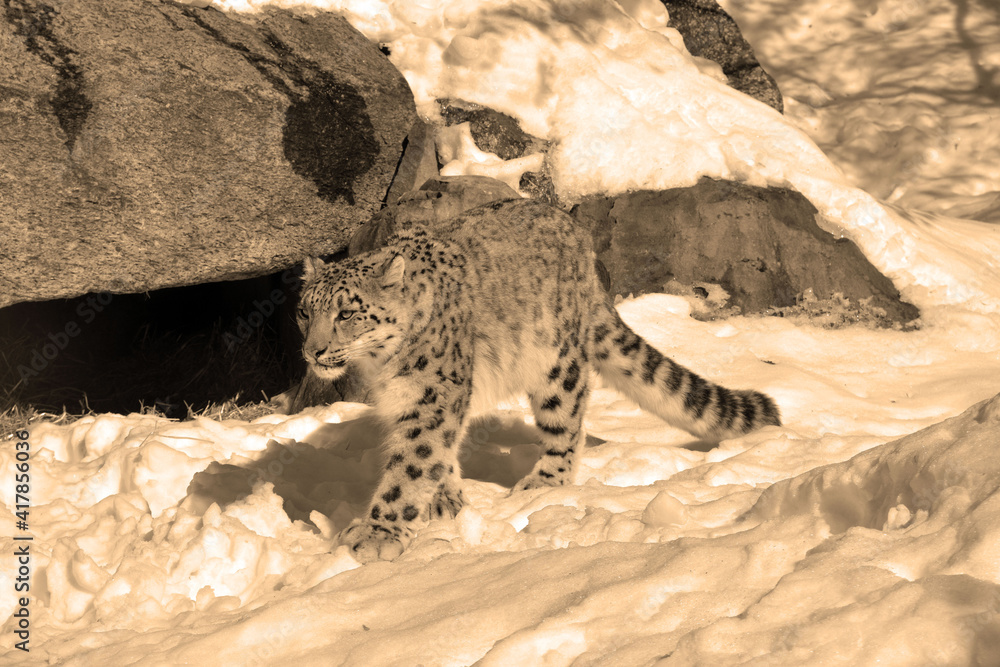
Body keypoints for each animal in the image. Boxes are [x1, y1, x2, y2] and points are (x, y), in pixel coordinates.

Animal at [297, 198, 780, 562]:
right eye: (304, 311)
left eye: (347, 313)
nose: (312, 351)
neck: (381, 366)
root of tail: (579, 239)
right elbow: (438, 455)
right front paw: (445, 502)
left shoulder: (431, 398)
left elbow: (413, 461)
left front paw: (377, 534)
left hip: (555, 364)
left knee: (567, 425)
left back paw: (544, 484)